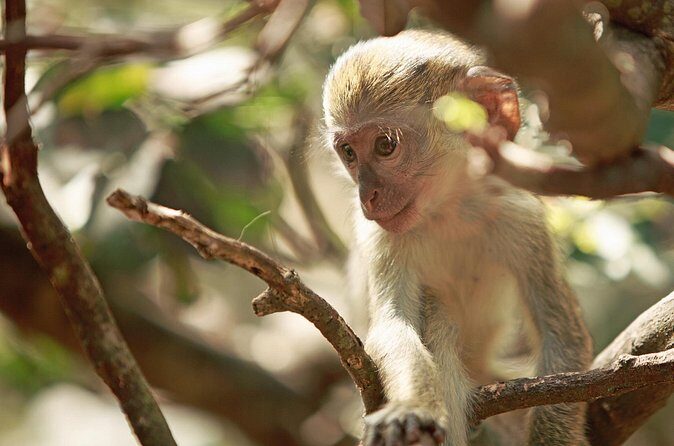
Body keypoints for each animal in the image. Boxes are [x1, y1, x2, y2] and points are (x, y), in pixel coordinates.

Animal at [322, 30, 592, 446]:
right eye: (349, 152)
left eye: (385, 145)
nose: (367, 196)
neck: (448, 210)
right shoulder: (382, 238)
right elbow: (393, 327)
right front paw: (412, 408)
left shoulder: (522, 219)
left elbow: (561, 335)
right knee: (438, 311)